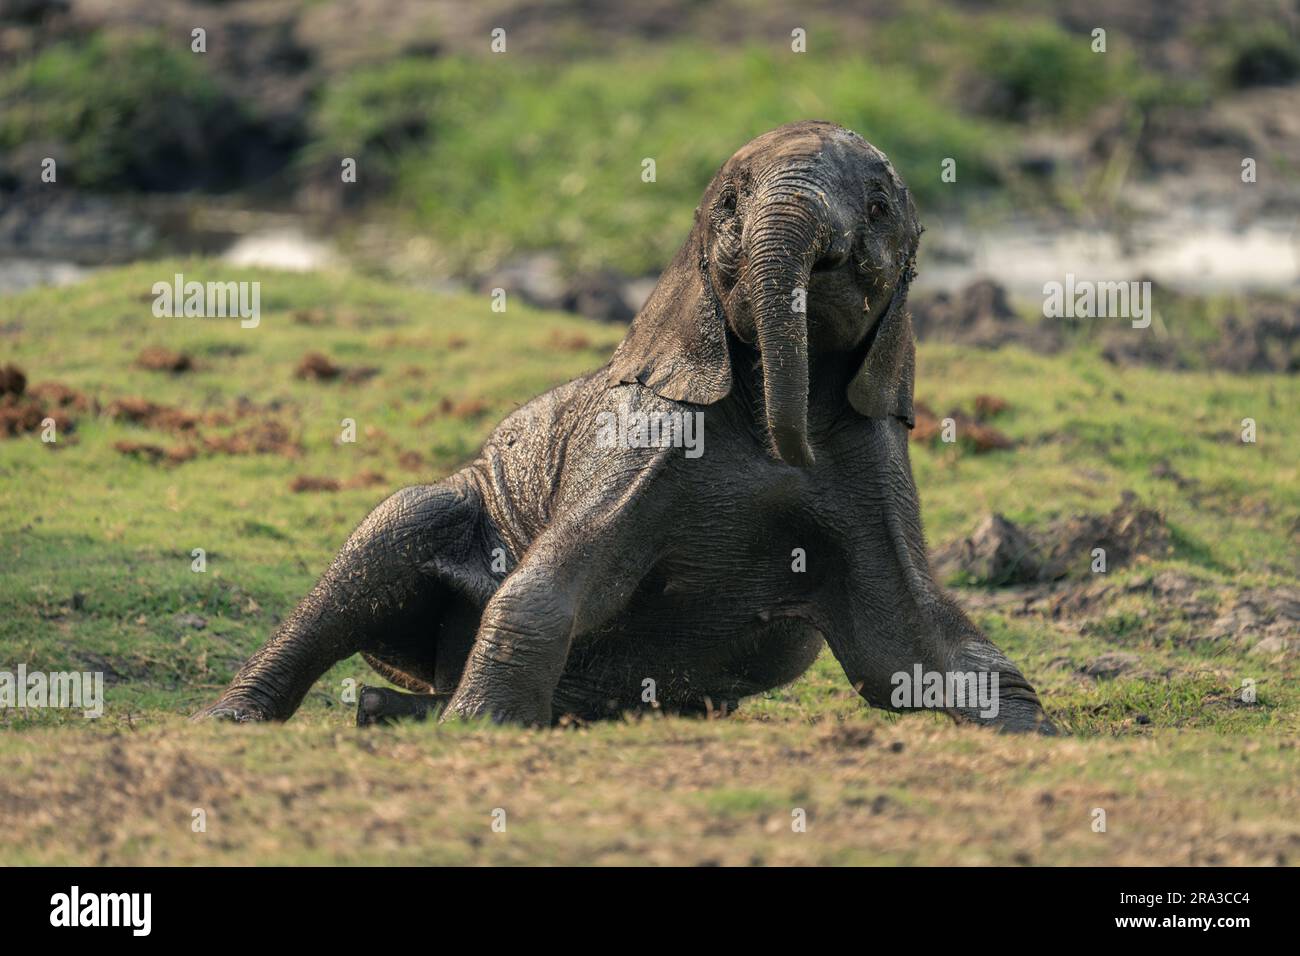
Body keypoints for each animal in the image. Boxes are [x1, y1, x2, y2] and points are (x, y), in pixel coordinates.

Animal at [195, 120, 1056, 734]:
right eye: (729, 206)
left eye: (878, 212)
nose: (793, 453)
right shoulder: (644, 436)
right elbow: (553, 581)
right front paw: (478, 729)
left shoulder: (873, 458)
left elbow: (909, 647)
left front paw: (1040, 733)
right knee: (393, 534)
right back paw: (241, 719)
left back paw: (400, 714)